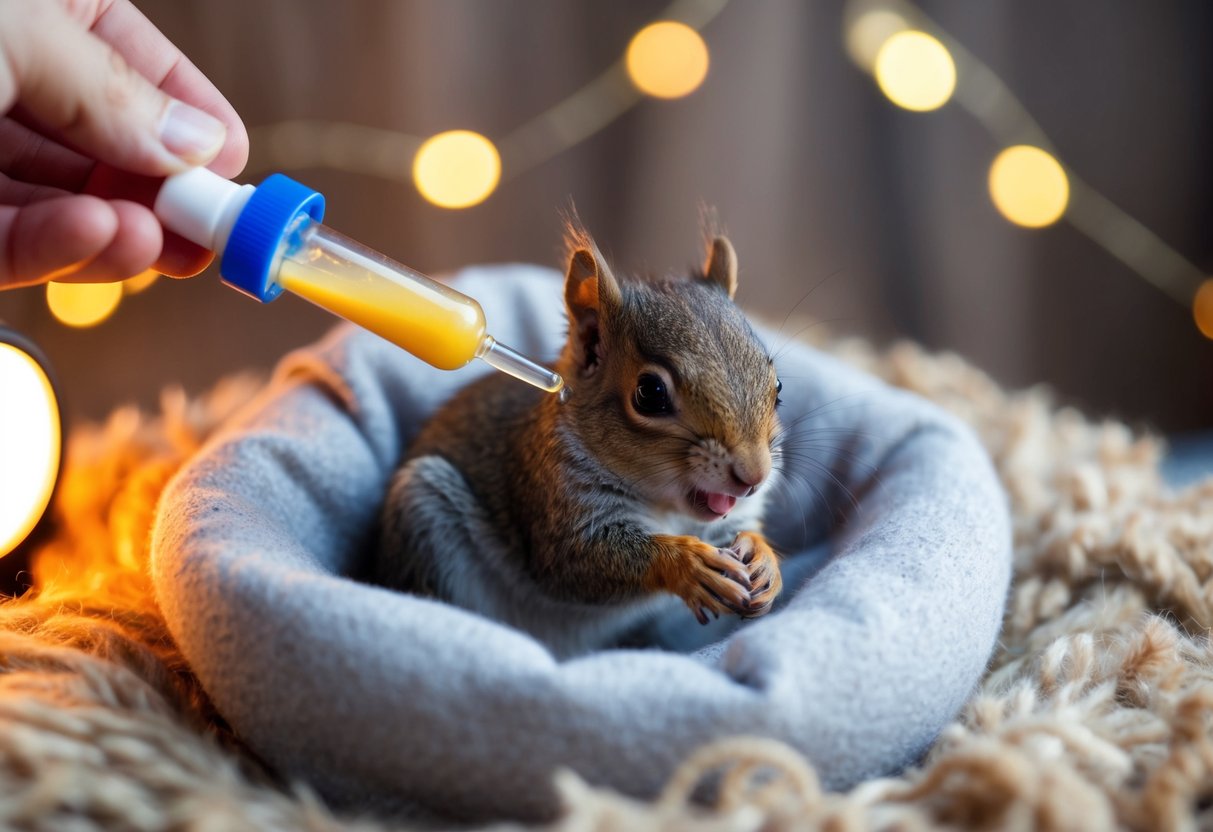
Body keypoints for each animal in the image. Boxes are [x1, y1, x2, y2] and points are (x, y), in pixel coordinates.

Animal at [375, 225, 784, 658]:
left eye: (777, 387)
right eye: (650, 393)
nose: (754, 476)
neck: (667, 508)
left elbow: (744, 530)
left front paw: (764, 560)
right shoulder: (552, 495)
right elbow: (573, 563)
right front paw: (687, 563)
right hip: (423, 516)